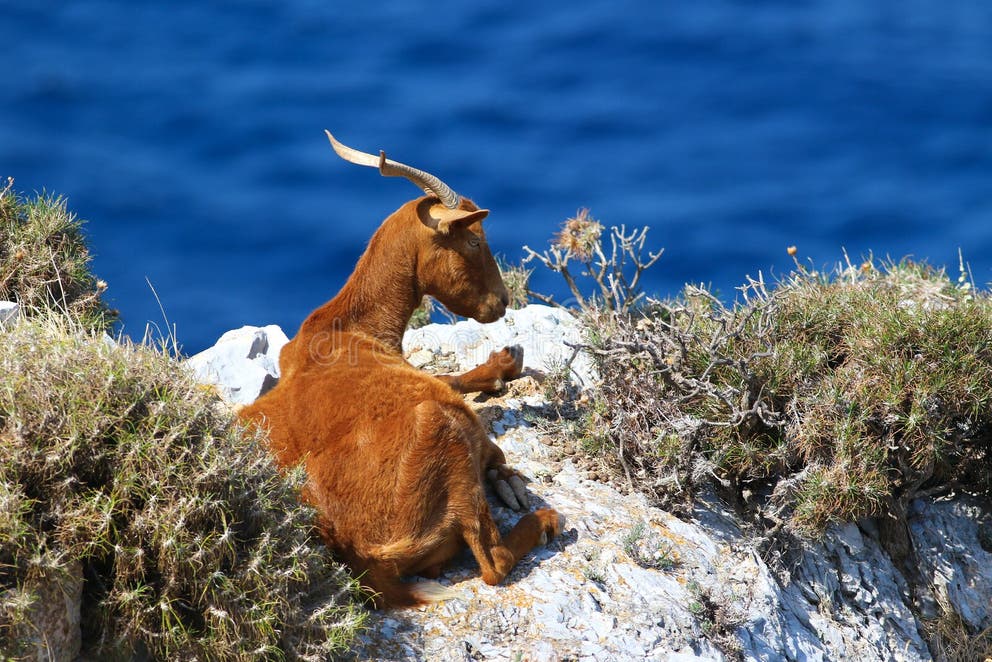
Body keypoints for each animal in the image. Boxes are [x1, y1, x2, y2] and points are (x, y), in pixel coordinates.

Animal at [240, 132, 564, 608]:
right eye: (474, 241)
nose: (502, 302)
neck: (348, 326)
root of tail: (368, 557)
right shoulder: (436, 396)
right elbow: (466, 408)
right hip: (440, 432)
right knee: (493, 561)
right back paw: (543, 520)